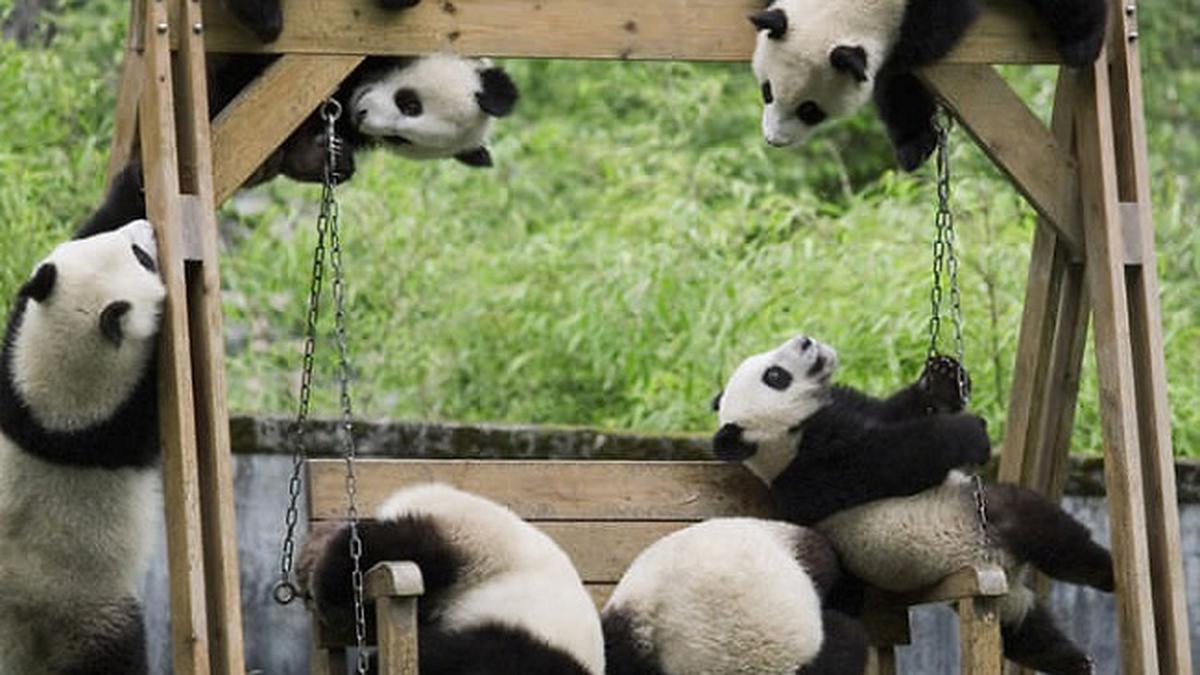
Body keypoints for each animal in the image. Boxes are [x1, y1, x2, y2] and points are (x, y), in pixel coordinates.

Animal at [712, 334, 1116, 675]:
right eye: (775, 376)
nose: (805, 341)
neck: (786, 435)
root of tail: (1003, 566)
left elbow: (898, 410)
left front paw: (941, 376)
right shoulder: (815, 470)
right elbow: (895, 459)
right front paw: (969, 432)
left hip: (999, 589)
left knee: (1026, 628)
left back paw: (1074, 660)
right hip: (978, 529)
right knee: (1047, 536)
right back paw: (1106, 574)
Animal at [749, 0, 1109, 169]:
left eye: (810, 110)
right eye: (767, 91)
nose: (773, 141)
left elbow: (907, 62)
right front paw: (915, 145)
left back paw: (1083, 42)